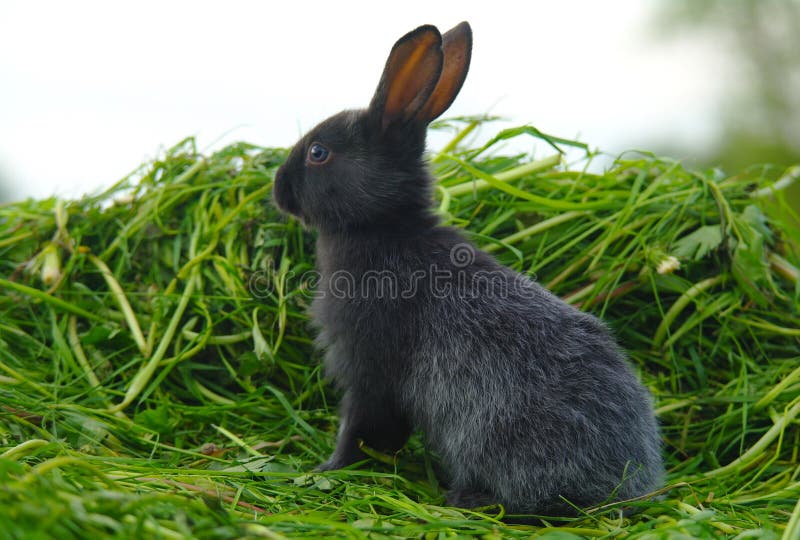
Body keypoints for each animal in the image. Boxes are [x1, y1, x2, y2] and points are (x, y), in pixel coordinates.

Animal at [272, 21, 664, 516]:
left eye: (319, 152)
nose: (278, 189)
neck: (384, 226)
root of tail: (632, 482)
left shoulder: (370, 370)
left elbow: (363, 427)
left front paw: (329, 467)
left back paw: (468, 497)